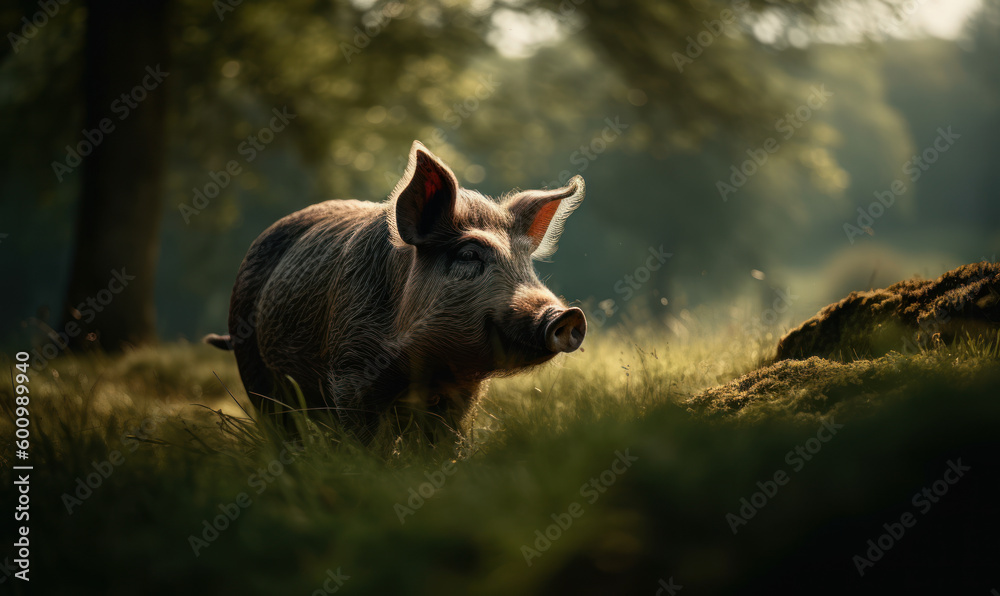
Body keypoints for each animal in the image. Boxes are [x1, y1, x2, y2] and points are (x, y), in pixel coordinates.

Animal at [205, 141, 586, 444]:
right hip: (252, 365)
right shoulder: (350, 372)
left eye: (525, 259)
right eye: (468, 254)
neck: (427, 364)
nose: (567, 314)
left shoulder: (463, 390)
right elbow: (368, 442)